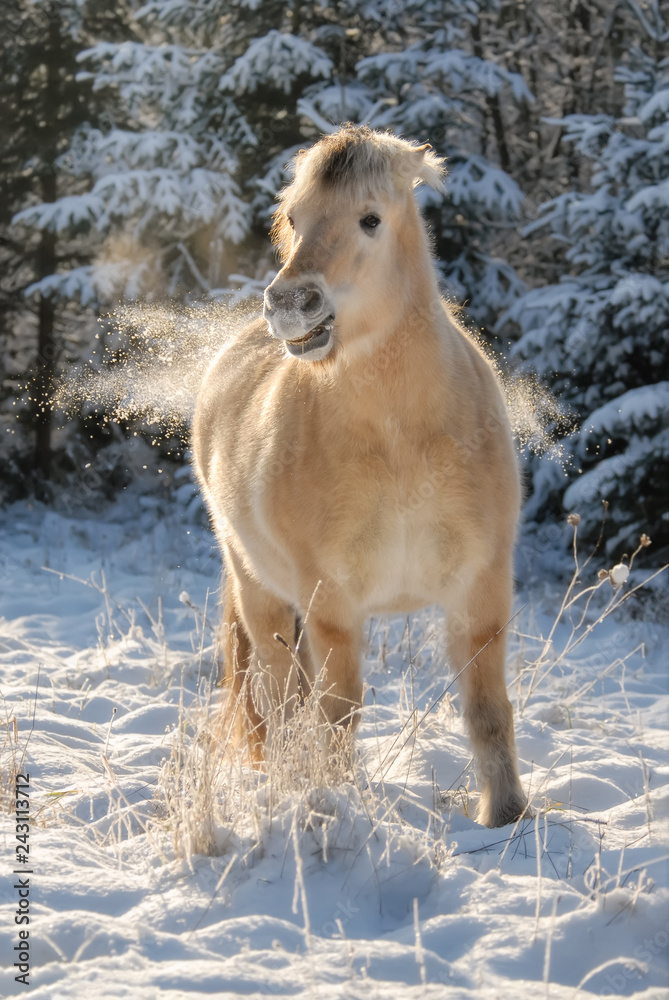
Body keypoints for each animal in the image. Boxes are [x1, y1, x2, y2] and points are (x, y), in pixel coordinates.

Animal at [192, 125, 527, 828]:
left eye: (370, 219)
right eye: (295, 218)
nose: (290, 304)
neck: (400, 445)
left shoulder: (481, 591)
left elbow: (487, 710)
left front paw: (507, 816)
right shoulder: (333, 604)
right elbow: (337, 715)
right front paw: (335, 800)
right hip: (260, 592)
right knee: (279, 697)